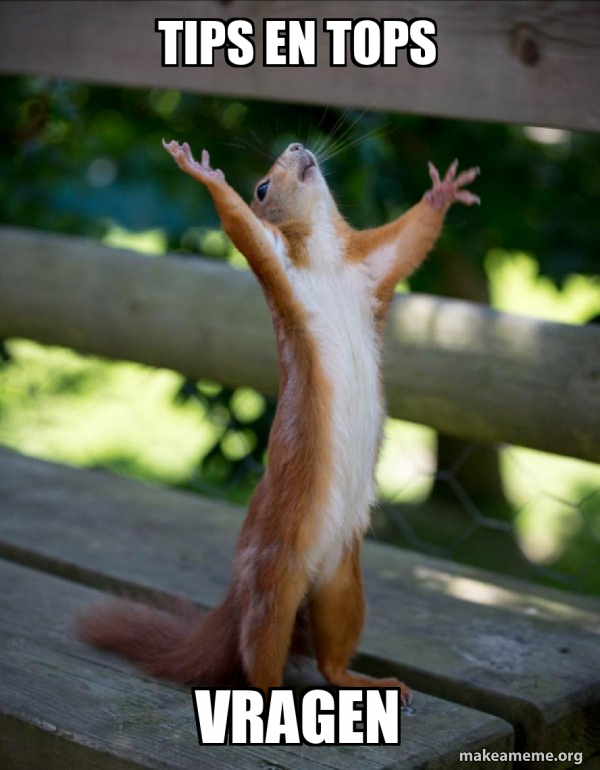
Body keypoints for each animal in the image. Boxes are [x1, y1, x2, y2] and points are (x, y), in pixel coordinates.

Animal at [77, 139, 479, 704]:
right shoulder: (277, 264)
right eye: (262, 187)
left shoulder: (372, 267)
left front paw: (442, 192)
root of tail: (239, 593)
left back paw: (366, 680)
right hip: (273, 584)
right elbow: (240, 226)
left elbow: (410, 239)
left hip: (343, 586)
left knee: (332, 658)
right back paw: (270, 697)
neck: (327, 259)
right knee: (259, 658)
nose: (296, 146)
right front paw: (203, 173)